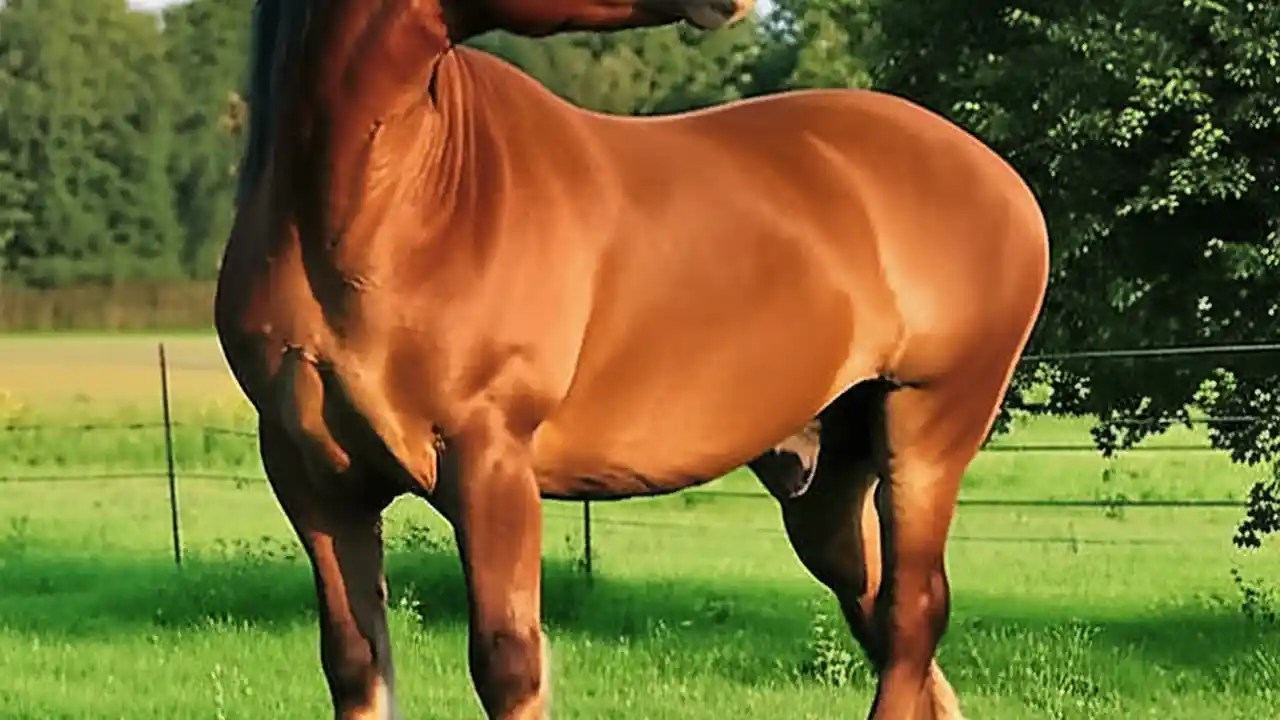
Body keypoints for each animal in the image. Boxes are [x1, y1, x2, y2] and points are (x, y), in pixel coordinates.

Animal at [214, 1, 1050, 718]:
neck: (392, 205)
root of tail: (1000, 178)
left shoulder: (490, 463)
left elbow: (508, 664)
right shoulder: (314, 479)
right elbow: (358, 662)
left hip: (926, 431)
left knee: (913, 615)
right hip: (825, 483)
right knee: (886, 620)